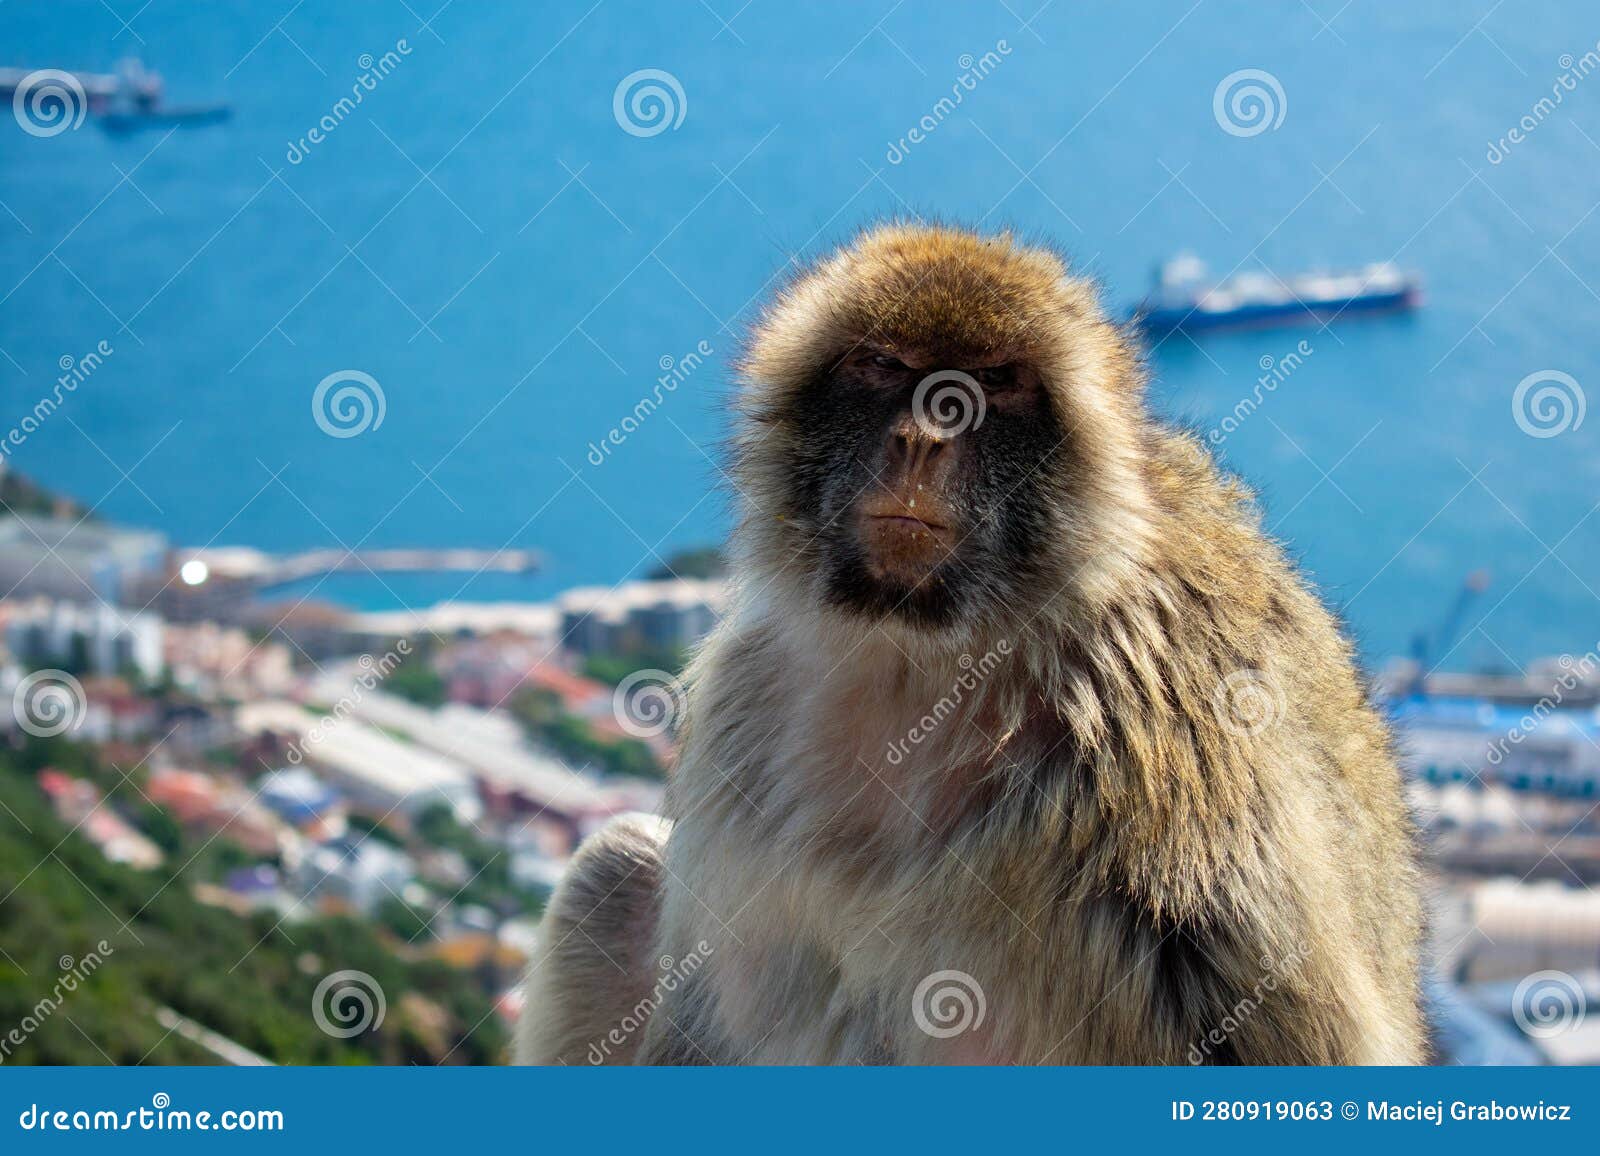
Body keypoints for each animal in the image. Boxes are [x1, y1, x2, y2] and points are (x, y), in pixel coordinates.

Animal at [516, 222, 1424, 1066]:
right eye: (883, 365)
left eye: (996, 383)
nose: (924, 436)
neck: (923, 653)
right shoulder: (745, 692)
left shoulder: (1164, 731)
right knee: (615, 864)